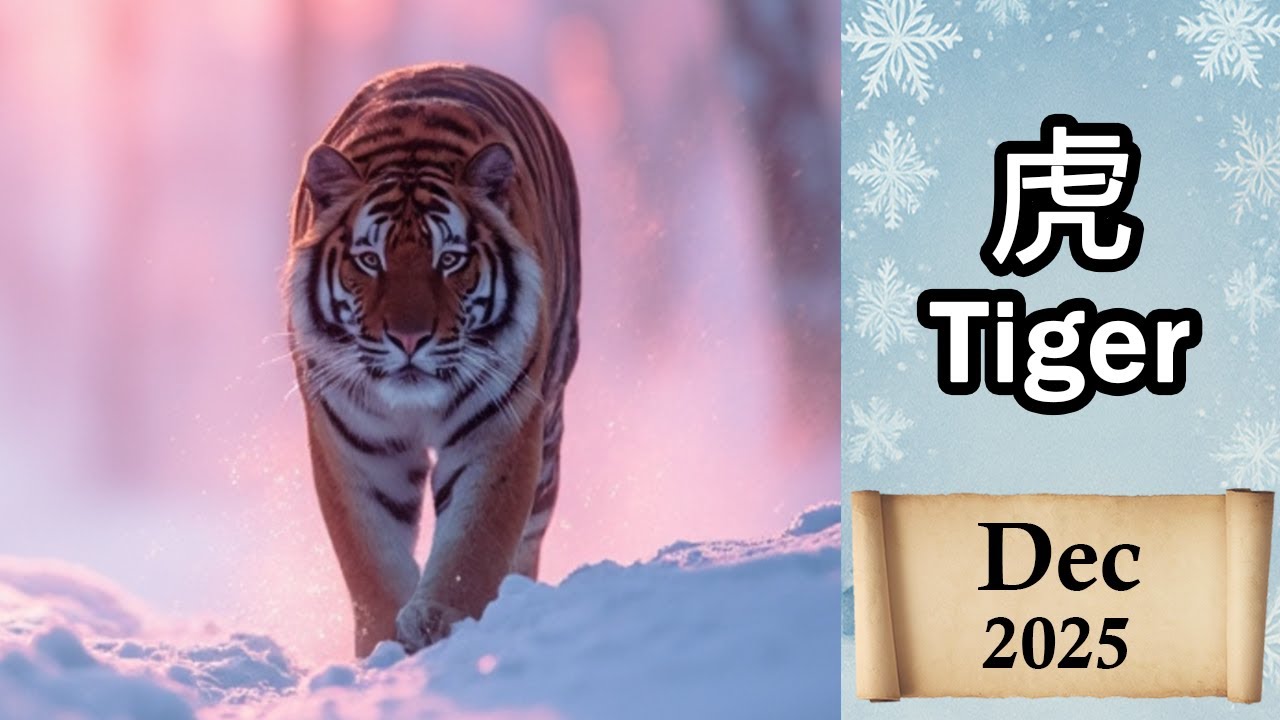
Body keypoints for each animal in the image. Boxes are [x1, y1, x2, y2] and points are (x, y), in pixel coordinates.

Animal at [284, 63, 580, 657]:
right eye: (368, 260)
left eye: (450, 260)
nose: (409, 337)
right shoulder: (356, 445)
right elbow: (369, 559)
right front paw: (384, 646)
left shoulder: (500, 426)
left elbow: (474, 545)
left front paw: (440, 625)